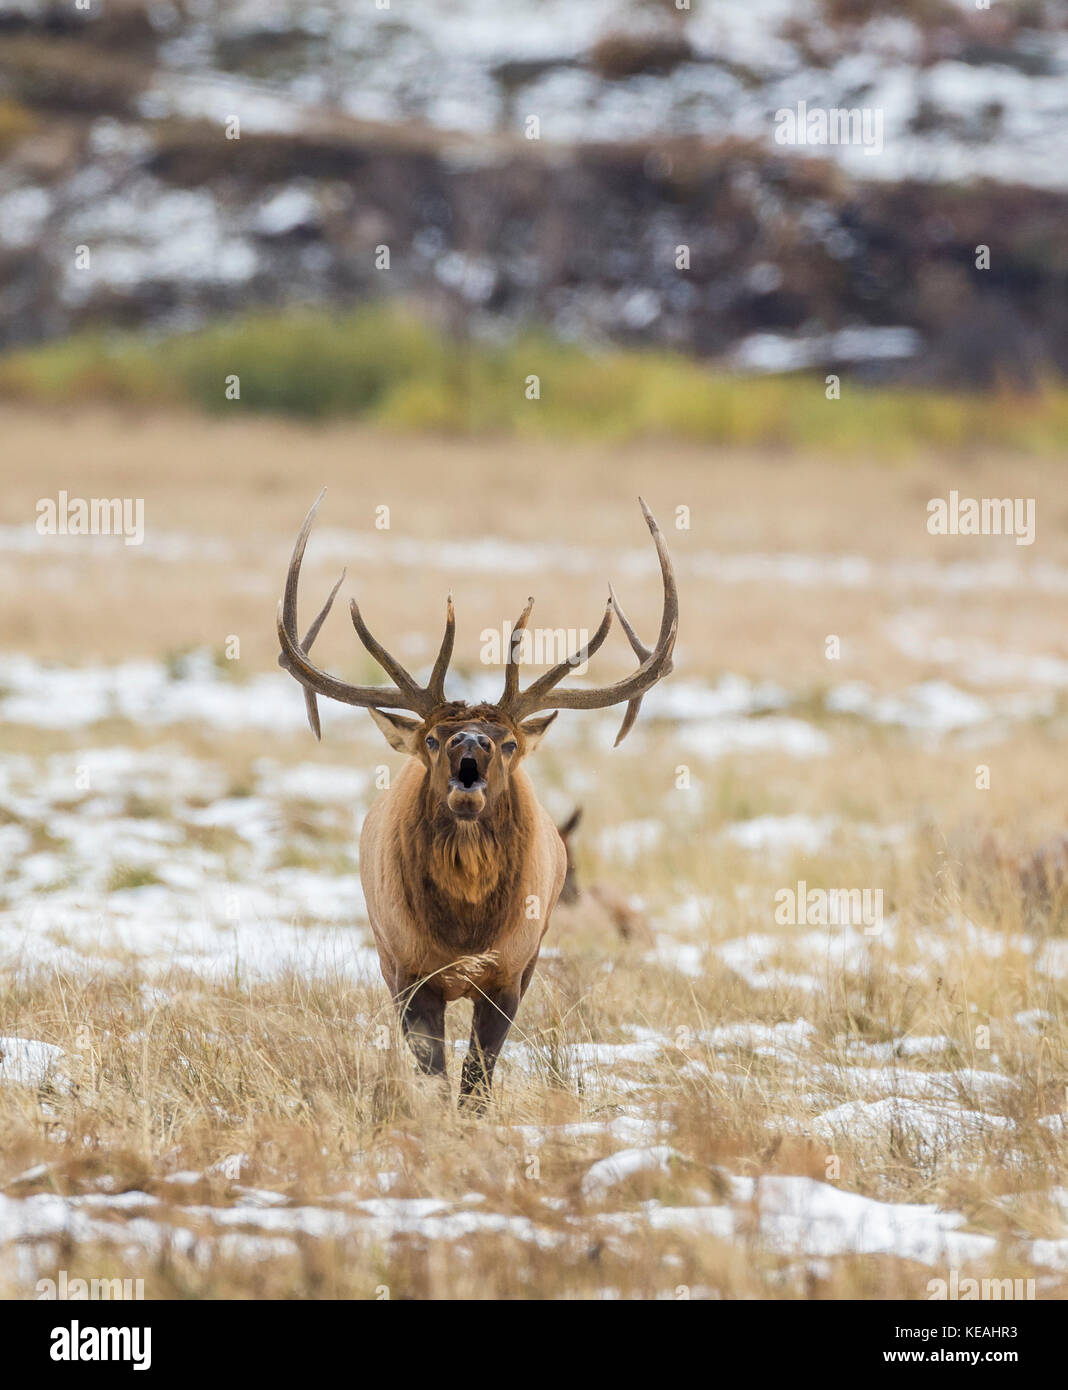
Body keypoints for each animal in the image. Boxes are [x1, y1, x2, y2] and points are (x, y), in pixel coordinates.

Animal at [276, 491, 677, 1107]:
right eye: (432, 739)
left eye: (509, 742)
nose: (470, 746)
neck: (465, 930)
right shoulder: (408, 970)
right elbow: (436, 1074)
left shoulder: (512, 971)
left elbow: (477, 1079)